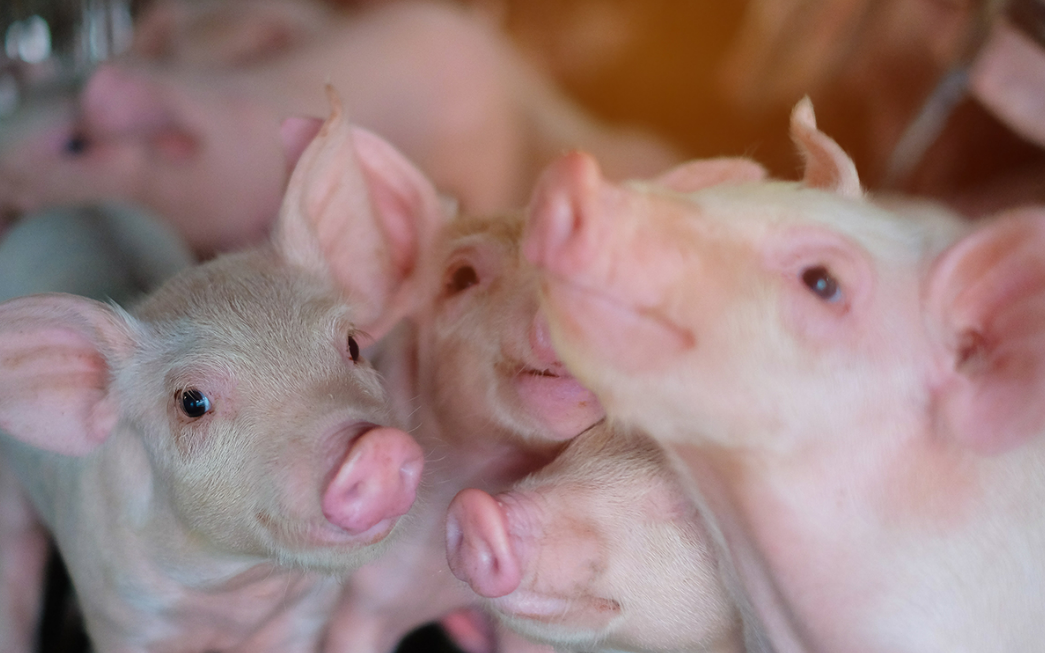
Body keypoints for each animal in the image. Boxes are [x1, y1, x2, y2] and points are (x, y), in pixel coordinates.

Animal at [0, 88, 441, 652]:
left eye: (353, 344)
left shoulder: (306, 615)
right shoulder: (126, 620)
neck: (235, 596)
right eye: (192, 402)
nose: (375, 447)